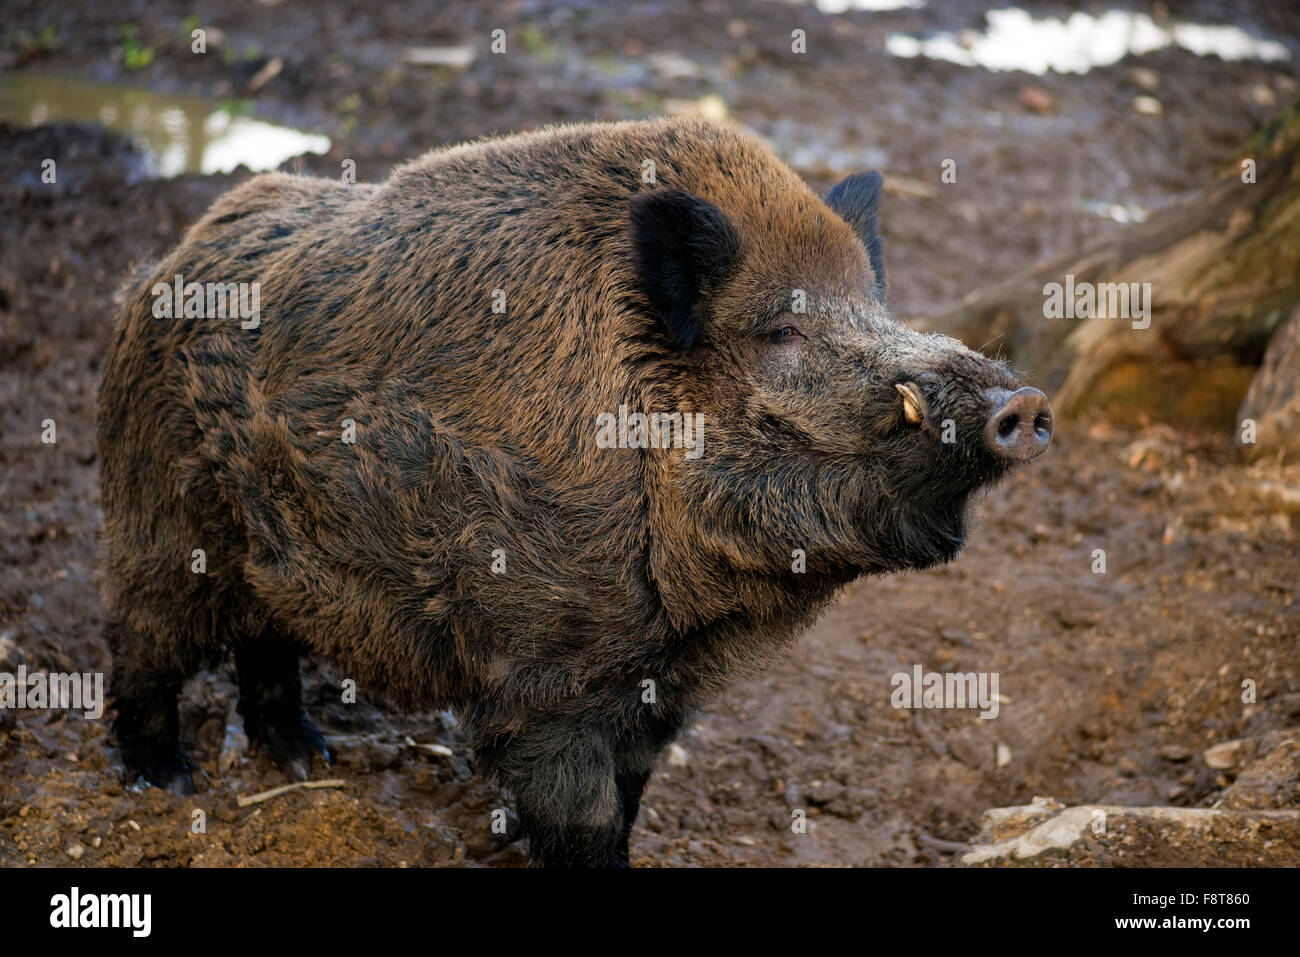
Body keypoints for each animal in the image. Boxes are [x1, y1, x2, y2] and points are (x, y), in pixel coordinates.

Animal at [97, 116, 1052, 867]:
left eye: (875, 307)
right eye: (783, 329)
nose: (1025, 402)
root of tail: (164, 264)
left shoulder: (658, 687)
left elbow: (630, 798)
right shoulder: (546, 668)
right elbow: (582, 810)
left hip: (266, 553)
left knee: (264, 640)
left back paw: (308, 758)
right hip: (161, 514)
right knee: (143, 638)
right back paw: (161, 778)